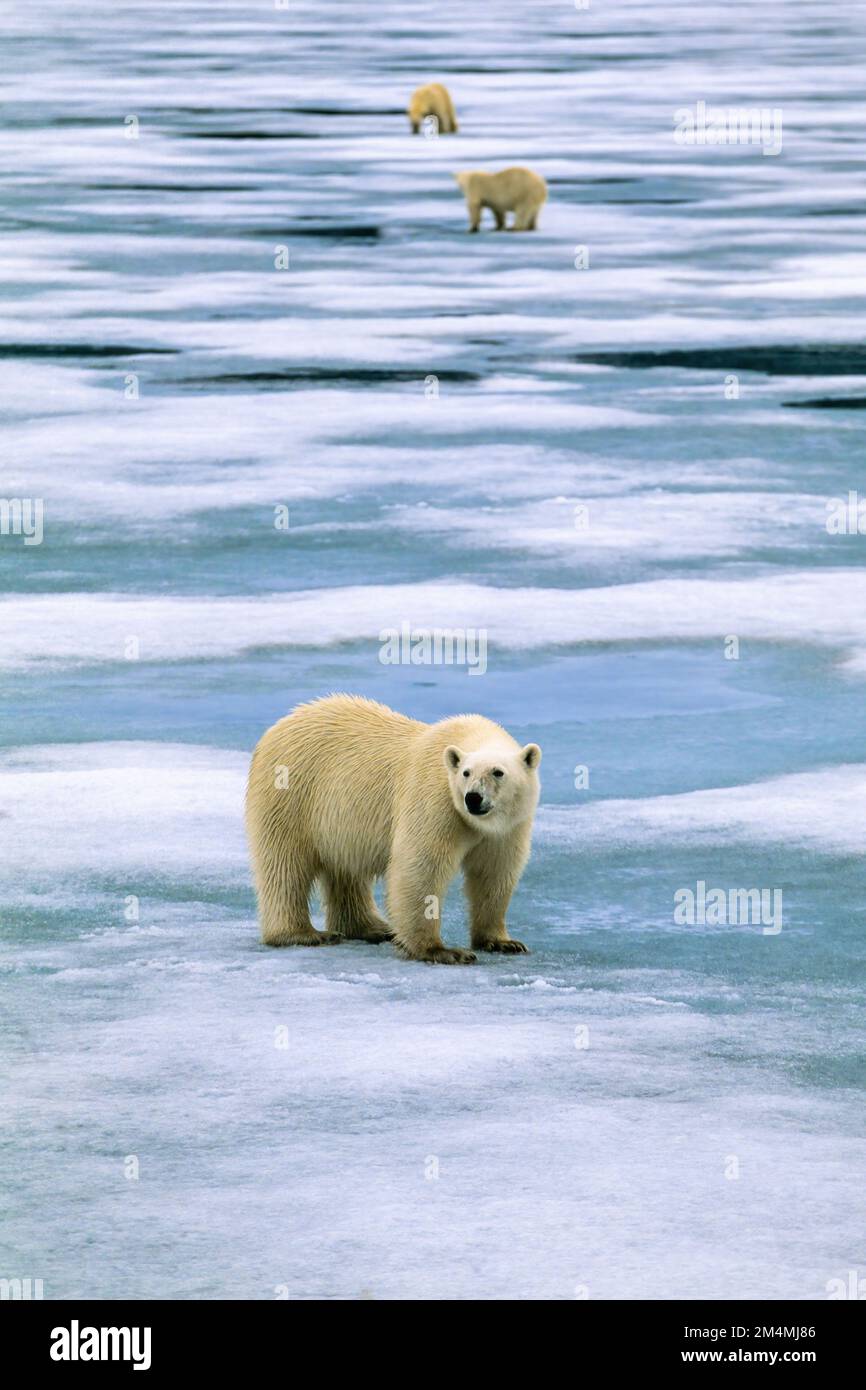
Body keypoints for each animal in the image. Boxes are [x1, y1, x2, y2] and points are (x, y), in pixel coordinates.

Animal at [245, 694, 542, 964]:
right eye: (466, 773)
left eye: (498, 772)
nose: (473, 798)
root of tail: (280, 724)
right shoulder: (435, 799)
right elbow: (421, 867)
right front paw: (442, 950)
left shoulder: (508, 828)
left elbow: (495, 873)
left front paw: (503, 942)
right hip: (292, 795)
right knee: (286, 864)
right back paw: (304, 934)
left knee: (346, 869)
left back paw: (371, 927)